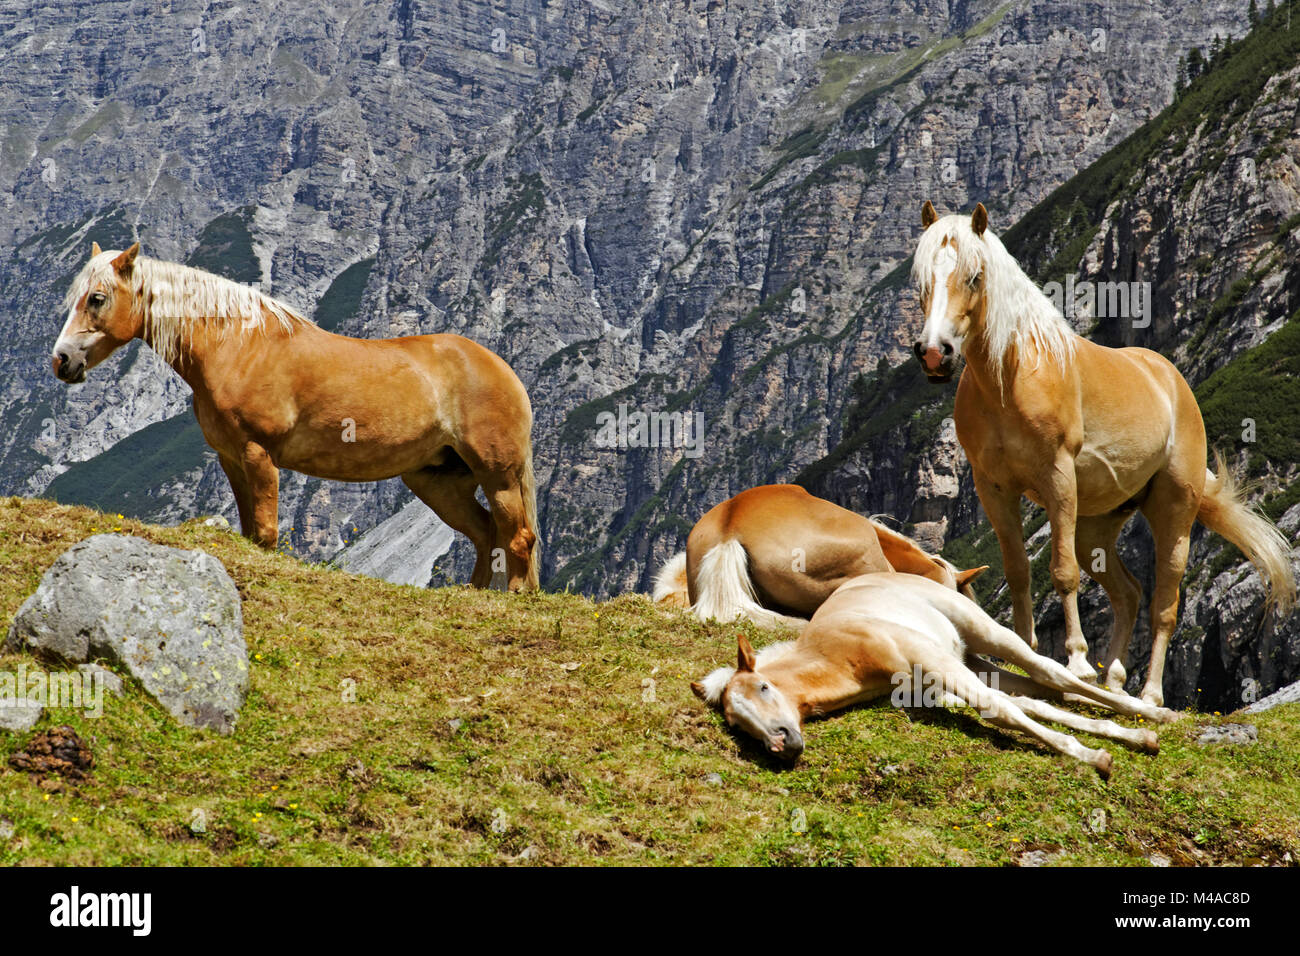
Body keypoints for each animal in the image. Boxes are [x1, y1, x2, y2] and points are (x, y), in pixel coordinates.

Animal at [52, 242, 540, 591]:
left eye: (97, 298)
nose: (62, 360)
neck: (238, 346)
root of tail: (503, 370)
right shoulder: (231, 458)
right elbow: (250, 530)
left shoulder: (259, 453)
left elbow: (266, 533)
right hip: (437, 481)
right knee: (485, 533)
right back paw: (472, 594)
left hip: (497, 473)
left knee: (517, 536)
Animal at [693, 572, 1178, 778]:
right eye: (736, 723)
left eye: (764, 686)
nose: (781, 745)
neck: (845, 652)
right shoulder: (932, 685)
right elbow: (1022, 707)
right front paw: (1113, 744)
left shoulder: (933, 662)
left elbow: (1001, 712)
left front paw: (1092, 757)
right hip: (972, 661)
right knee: (1041, 691)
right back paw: (1140, 731)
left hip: (985, 635)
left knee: (1055, 675)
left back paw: (1157, 715)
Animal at [910, 202, 1295, 704]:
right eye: (922, 278)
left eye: (974, 276)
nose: (935, 354)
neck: (1012, 378)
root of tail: (1172, 380)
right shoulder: (993, 487)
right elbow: (1018, 571)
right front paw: (1026, 652)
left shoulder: (1057, 477)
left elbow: (1062, 572)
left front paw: (1075, 663)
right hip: (1096, 525)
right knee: (1128, 593)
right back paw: (1113, 677)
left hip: (1174, 508)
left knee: (1164, 602)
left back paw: (1148, 694)